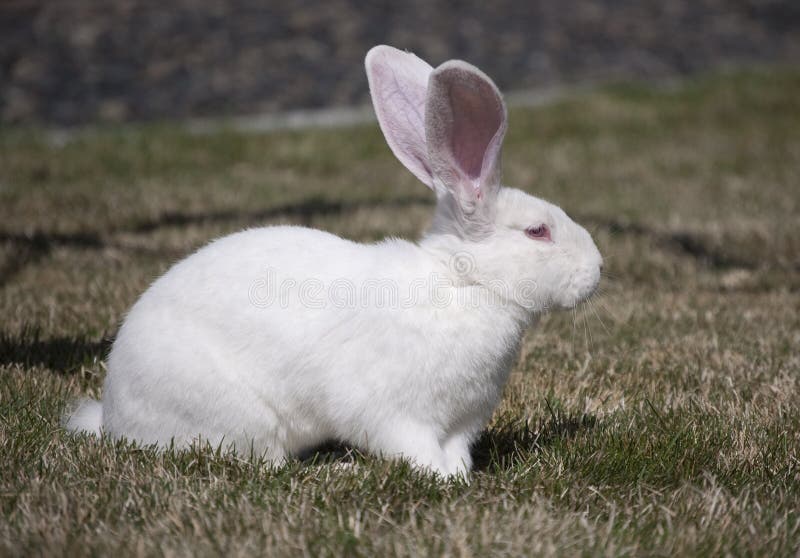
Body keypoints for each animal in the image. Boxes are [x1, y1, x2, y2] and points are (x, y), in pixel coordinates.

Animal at [64, 45, 602, 477]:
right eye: (538, 231)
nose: (598, 270)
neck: (463, 283)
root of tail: (113, 415)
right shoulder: (394, 414)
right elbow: (415, 451)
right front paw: (441, 479)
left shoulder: (460, 423)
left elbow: (454, 454)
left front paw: (460, 477)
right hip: (238, 417)